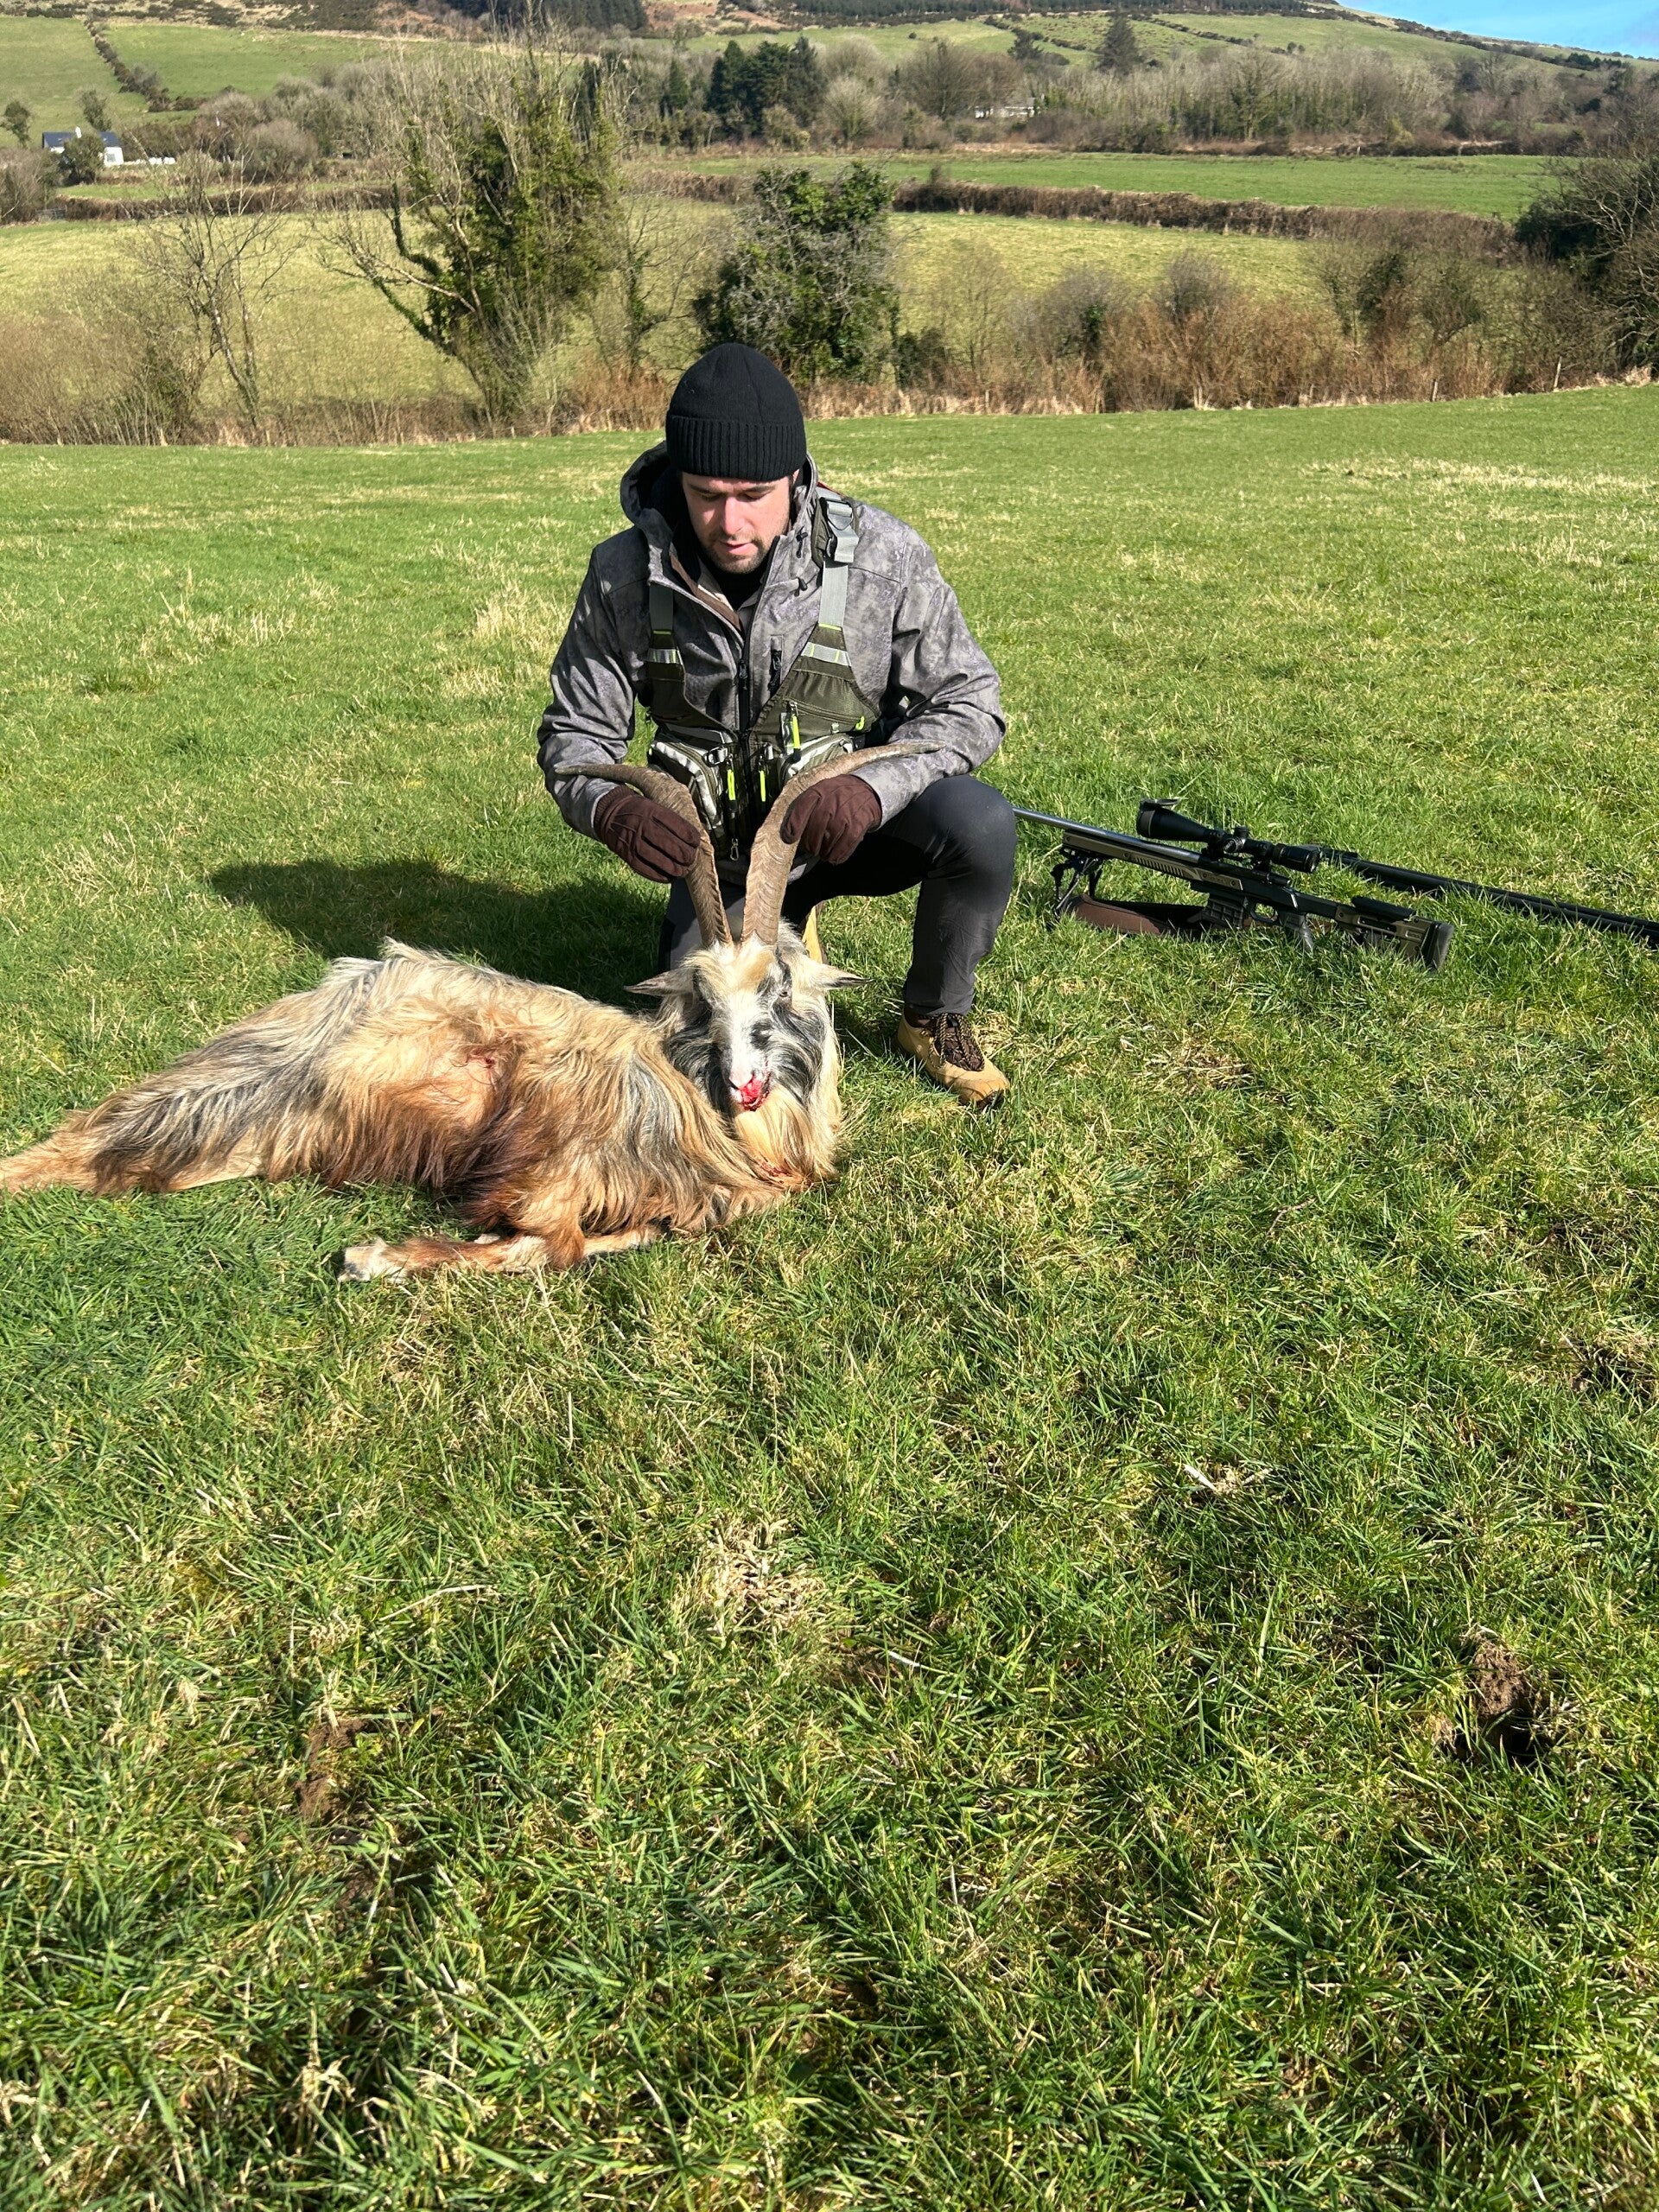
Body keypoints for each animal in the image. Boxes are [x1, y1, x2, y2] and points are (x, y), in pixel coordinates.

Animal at [0, 746, 925, 1280]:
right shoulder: (551, 1162)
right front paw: (375, 1256)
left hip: (272, 1117)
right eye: (700, 997)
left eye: (778, 990)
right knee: (106, 1129)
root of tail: (350, 982)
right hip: (278, 1083)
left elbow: (608, 1238)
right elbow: (544, 1244)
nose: (743, 1085)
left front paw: (378, 1255)